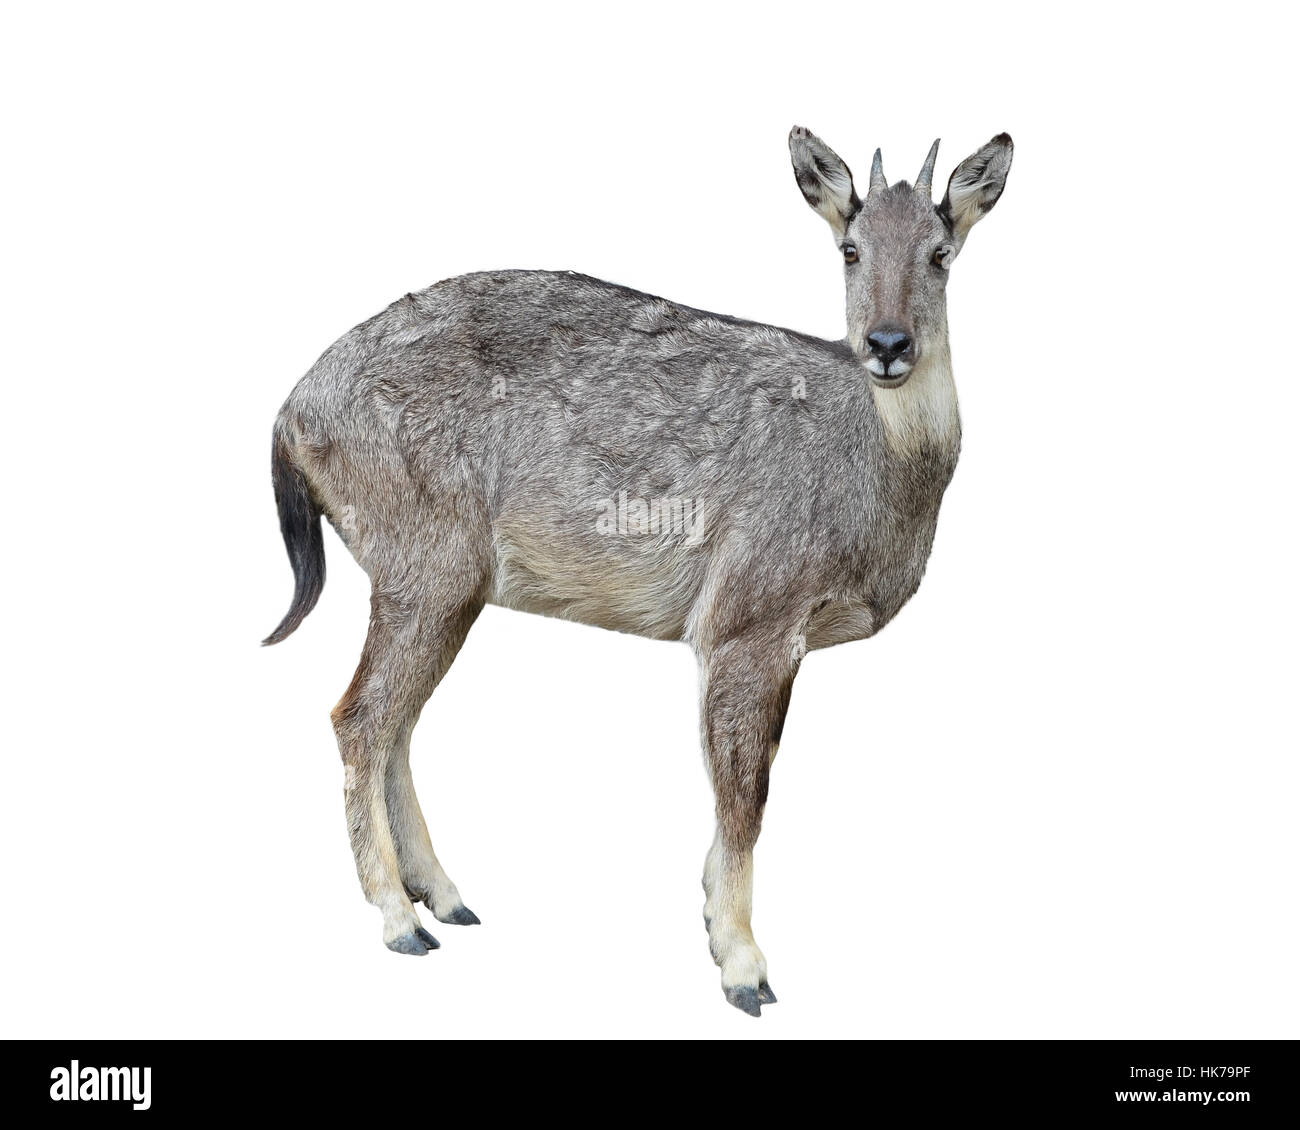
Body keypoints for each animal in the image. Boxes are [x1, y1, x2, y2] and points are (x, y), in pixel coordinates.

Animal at [264, 128, 1013, 1015]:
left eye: (941, 250)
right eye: (850, 247)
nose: (890, 345)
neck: (875, 471)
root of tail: (291, 416)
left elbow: (749, 781)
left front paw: (712, 920)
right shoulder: (745, 618)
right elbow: (745, 791)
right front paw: (744, 967)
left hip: (448, 588)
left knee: (397, 722)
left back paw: (444, 896)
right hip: (423, 563)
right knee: (360, 716)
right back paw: (398, 919)